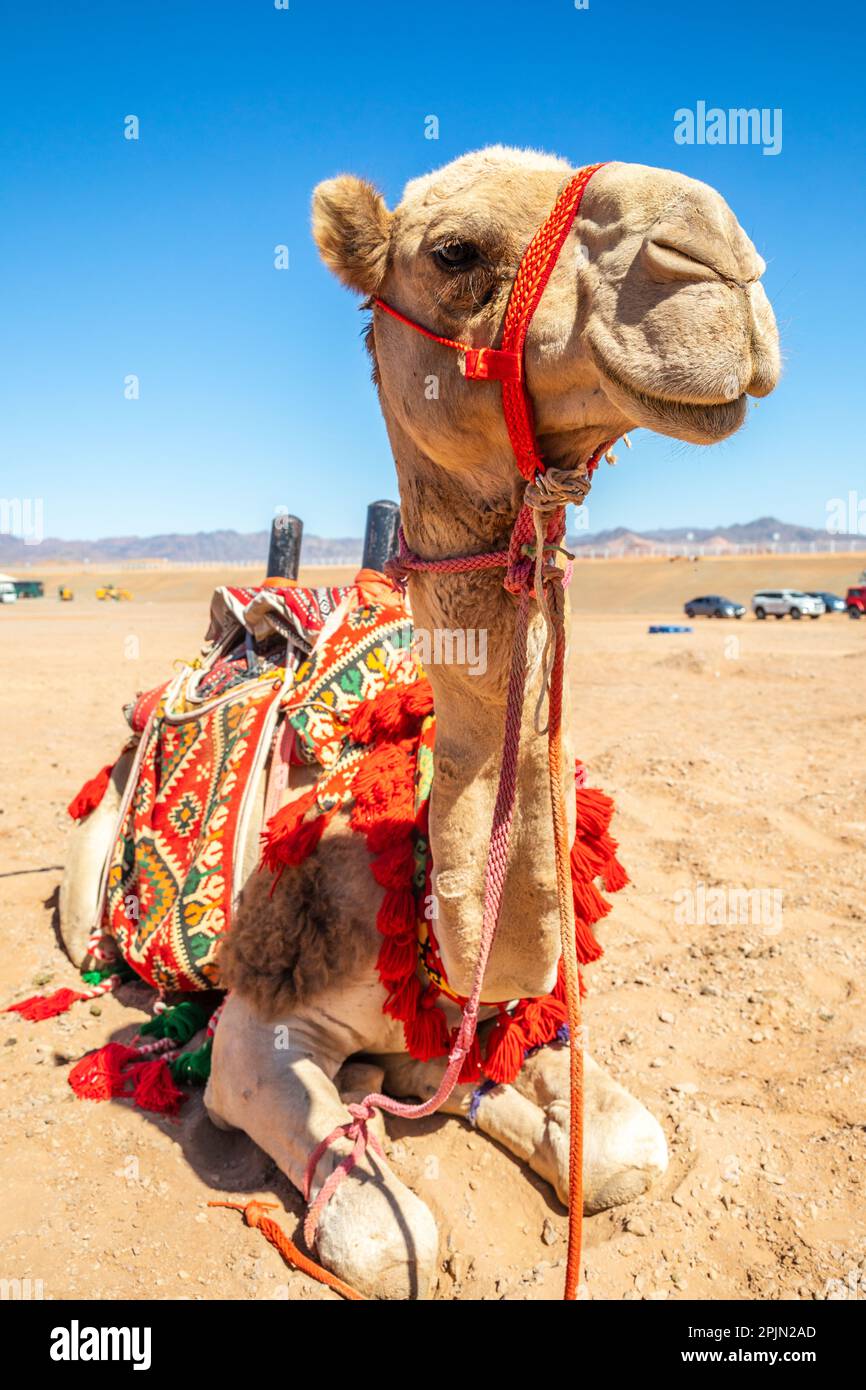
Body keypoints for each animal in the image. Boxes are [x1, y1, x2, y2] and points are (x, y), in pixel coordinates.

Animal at [59, 147, 780, 1299]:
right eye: (455, 251)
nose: (719, 261)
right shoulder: (256, 1029)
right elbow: (388, 1240)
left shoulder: (523, 1013)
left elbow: (625, 1148)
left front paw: (479, 1093)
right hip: (87, 887)